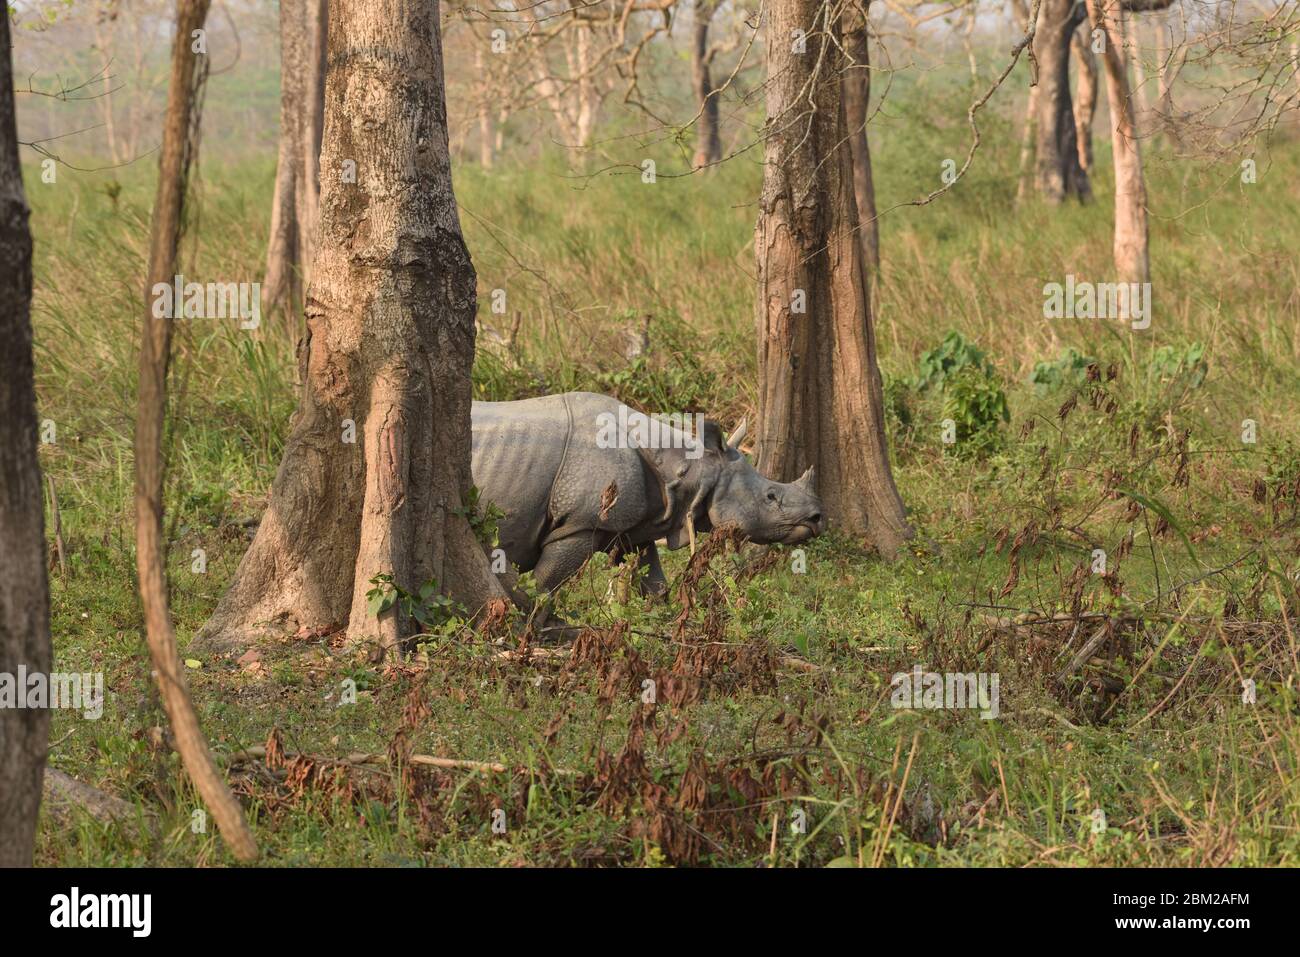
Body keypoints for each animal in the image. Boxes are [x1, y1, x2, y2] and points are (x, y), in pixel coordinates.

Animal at [470, 392, 825, 595]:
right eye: (770, 497)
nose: (818, 517)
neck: (691, 468)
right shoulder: (579, 523)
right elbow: (544, 587)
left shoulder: (637, 523)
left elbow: (654, 584)